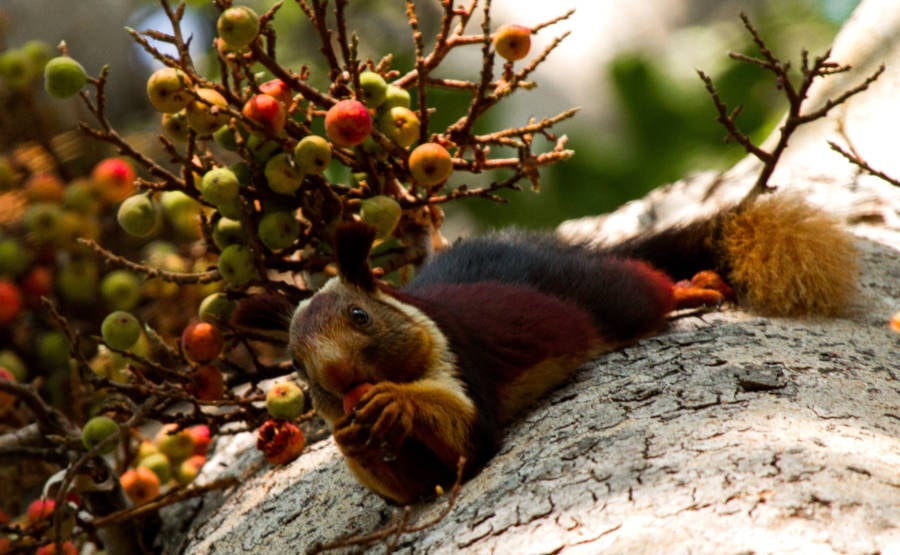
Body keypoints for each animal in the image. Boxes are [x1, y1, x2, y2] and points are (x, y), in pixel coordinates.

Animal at [235, 194, 858, 505]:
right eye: (296, 365)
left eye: (360, 317)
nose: (339, 377)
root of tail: (561, 254)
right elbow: (410, 491)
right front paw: (349, 438)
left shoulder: (459, 358)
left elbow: (471, 439)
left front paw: (399, 403)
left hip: (607, 298)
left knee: (639, 285)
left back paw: (689, 287)